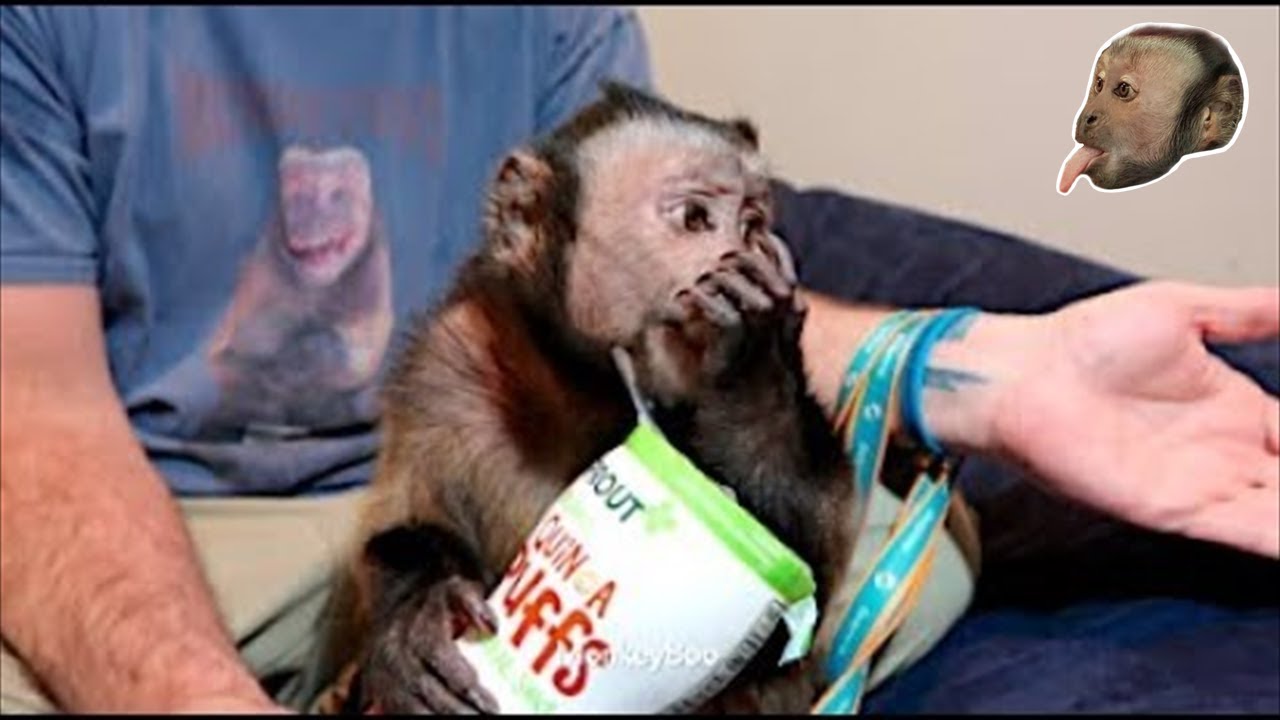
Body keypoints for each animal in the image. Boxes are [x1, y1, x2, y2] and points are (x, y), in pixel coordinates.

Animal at [203, 145, 394, 439]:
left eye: (336, 194)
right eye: (299, 195)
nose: (310, 217)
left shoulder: (371, 287)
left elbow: (357, 364)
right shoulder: (261, 282)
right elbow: (234, 360)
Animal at [326, 82, 864, 714]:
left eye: (752, 225)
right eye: (696, 219)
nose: (742, 251)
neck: (584, 383)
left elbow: (797, 606)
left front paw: (756, 359)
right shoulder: (446, 361)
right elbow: (397, 528)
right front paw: (415, 616)